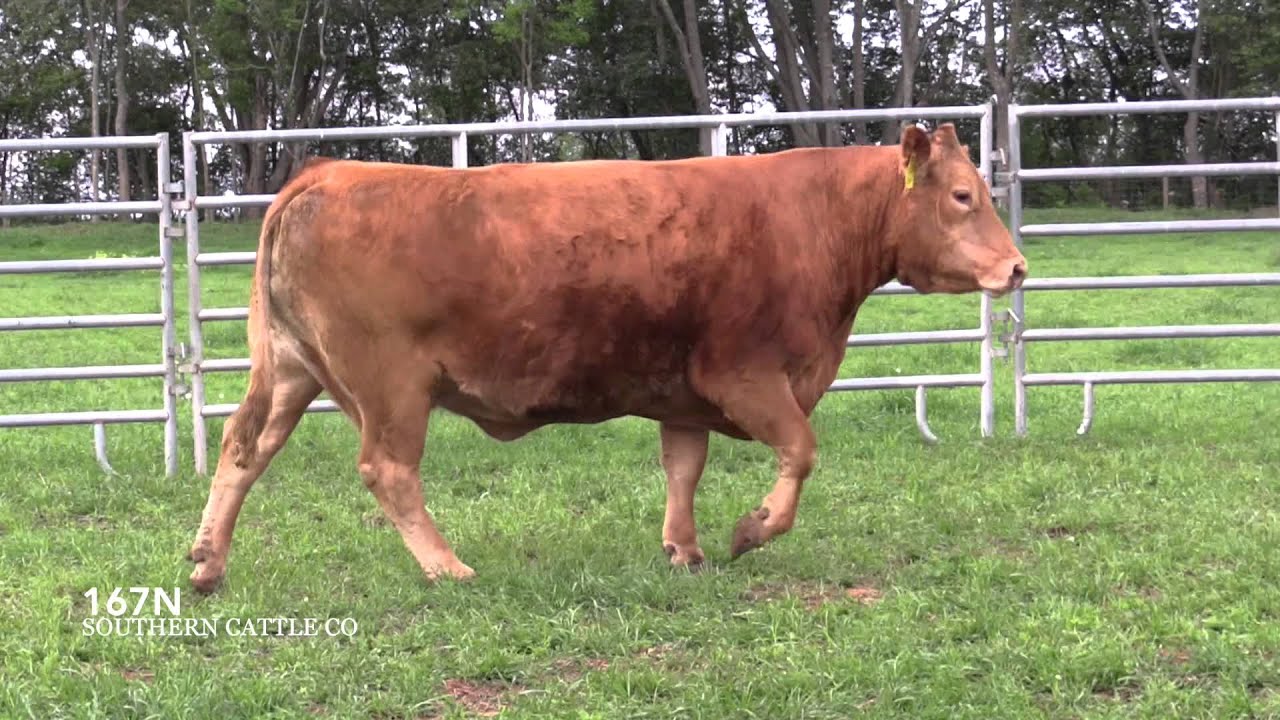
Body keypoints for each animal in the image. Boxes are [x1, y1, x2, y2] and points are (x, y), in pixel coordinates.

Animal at [187, 123, 1026, 592]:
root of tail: (327, 173)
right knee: (387, 470)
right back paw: (447, 568)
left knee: (242, 449)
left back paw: (208, 562)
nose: (1016, 268)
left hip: (289, 370)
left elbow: (684, 468)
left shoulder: (684, 393)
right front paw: (752, 529)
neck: (810, 219)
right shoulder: (747, 375)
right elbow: (801, 450)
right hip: (392, 387)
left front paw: (685, 549)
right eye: (962, 196)